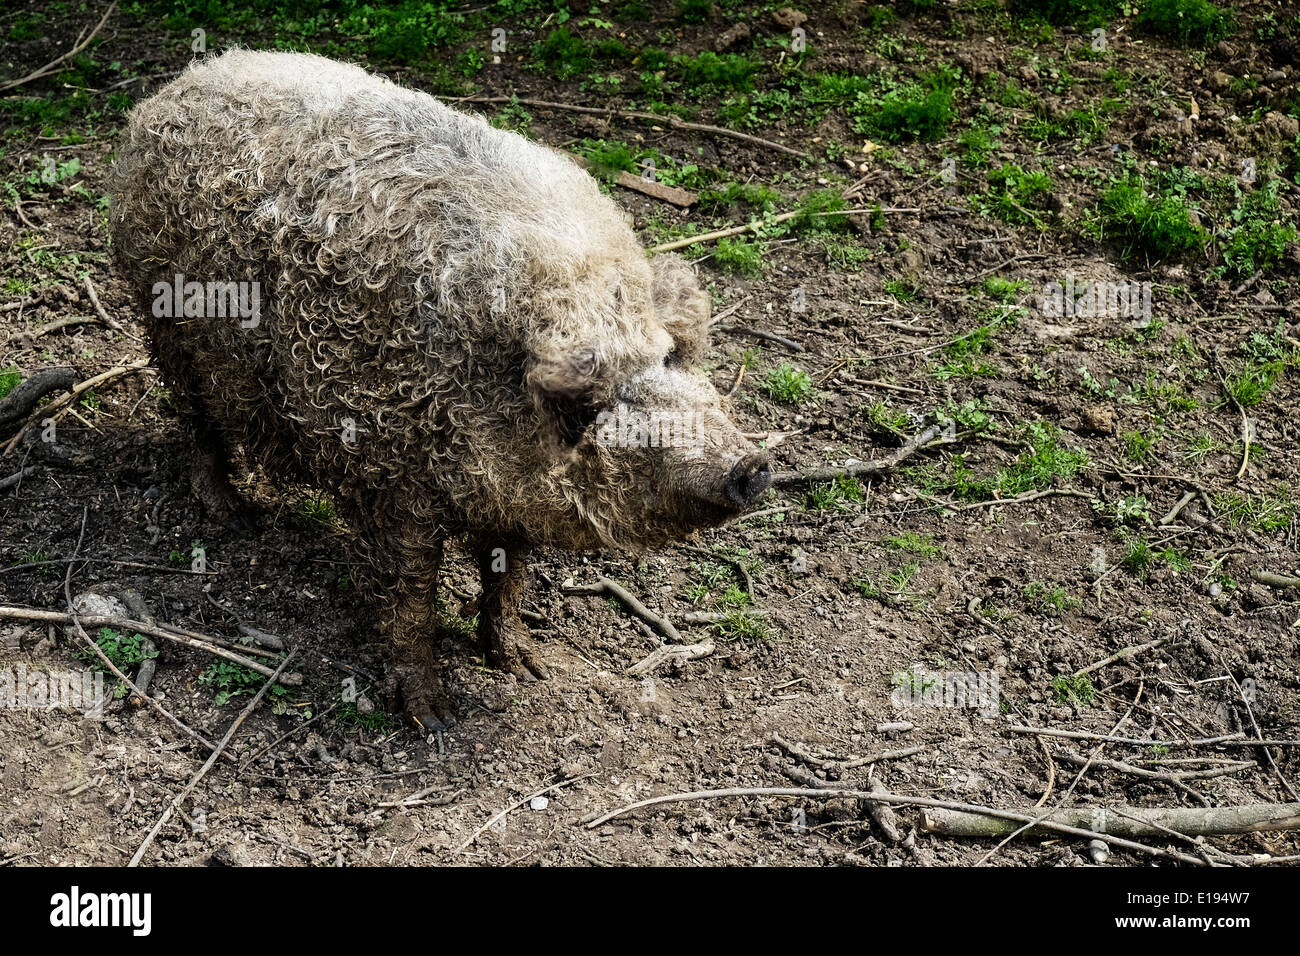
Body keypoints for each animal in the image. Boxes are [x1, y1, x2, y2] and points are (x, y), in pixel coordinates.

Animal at [108, 50, 771, 730]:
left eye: (667, 356)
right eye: (591, 404)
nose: (751, 465)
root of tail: (177, 88)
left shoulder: (510, 497)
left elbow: (508, 570)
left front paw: (528, 666)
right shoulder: (390, 476)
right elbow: (412, 592)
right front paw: (431, 718)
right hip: (163, 322)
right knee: (195, 420)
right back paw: (234, 517)